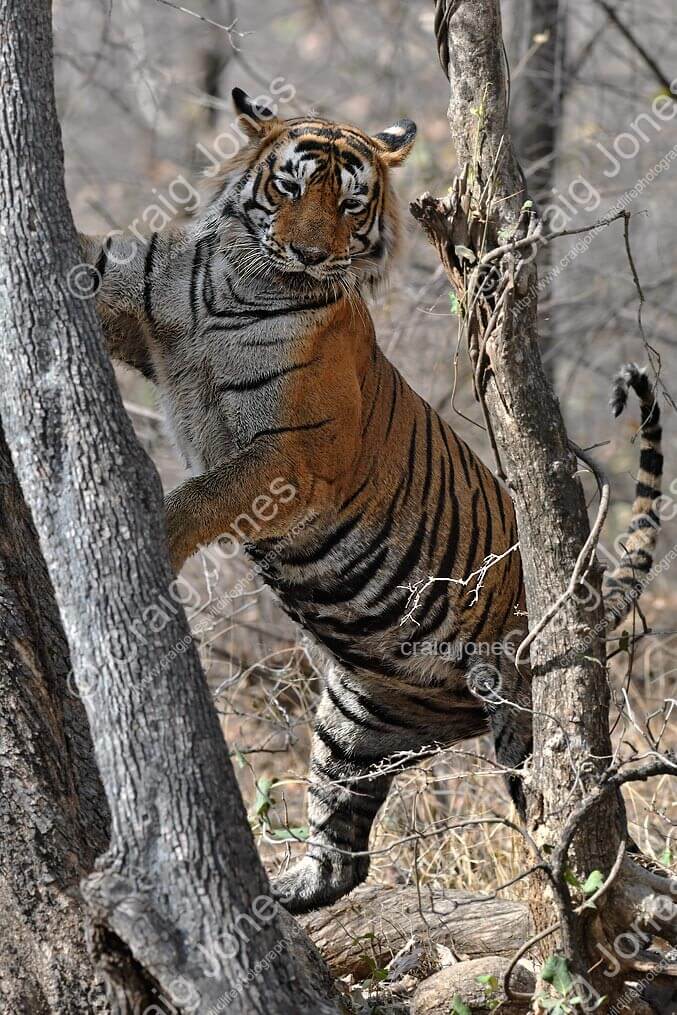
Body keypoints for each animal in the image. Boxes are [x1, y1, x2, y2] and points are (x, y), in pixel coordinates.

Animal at [78, 88, 663, 915]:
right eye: (289, 186)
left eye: (349, 202)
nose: (309, 255)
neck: (236, 285)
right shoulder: (135, 305)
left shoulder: (293, 459)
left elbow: (204, 491)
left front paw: (151, 538)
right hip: (354, 725)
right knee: (343, 857)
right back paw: (275, 897)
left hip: (518, 717)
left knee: (585, 833)